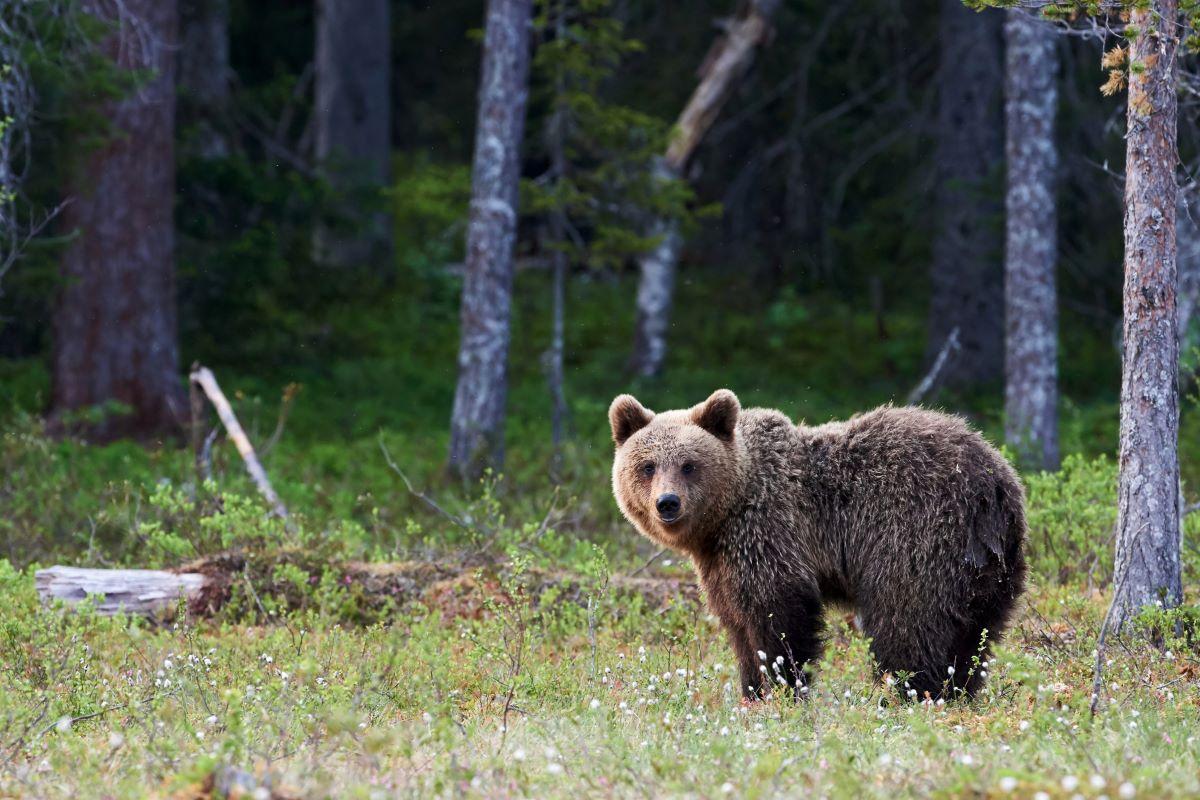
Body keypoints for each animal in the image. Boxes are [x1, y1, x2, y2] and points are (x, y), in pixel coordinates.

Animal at [608, 389, 1026, 701]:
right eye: (647, 465)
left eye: (689, 464)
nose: (667, 503)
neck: (723, 517)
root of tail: (997, 486)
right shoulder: (721, 562)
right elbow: (738, 623)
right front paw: (751, 691)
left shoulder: (769, 531)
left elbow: (780, 617)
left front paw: (784, 689)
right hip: (989, 571)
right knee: (973, 636)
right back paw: (958, 692)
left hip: (916, 537)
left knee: (908, 622)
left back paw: (910, 694)